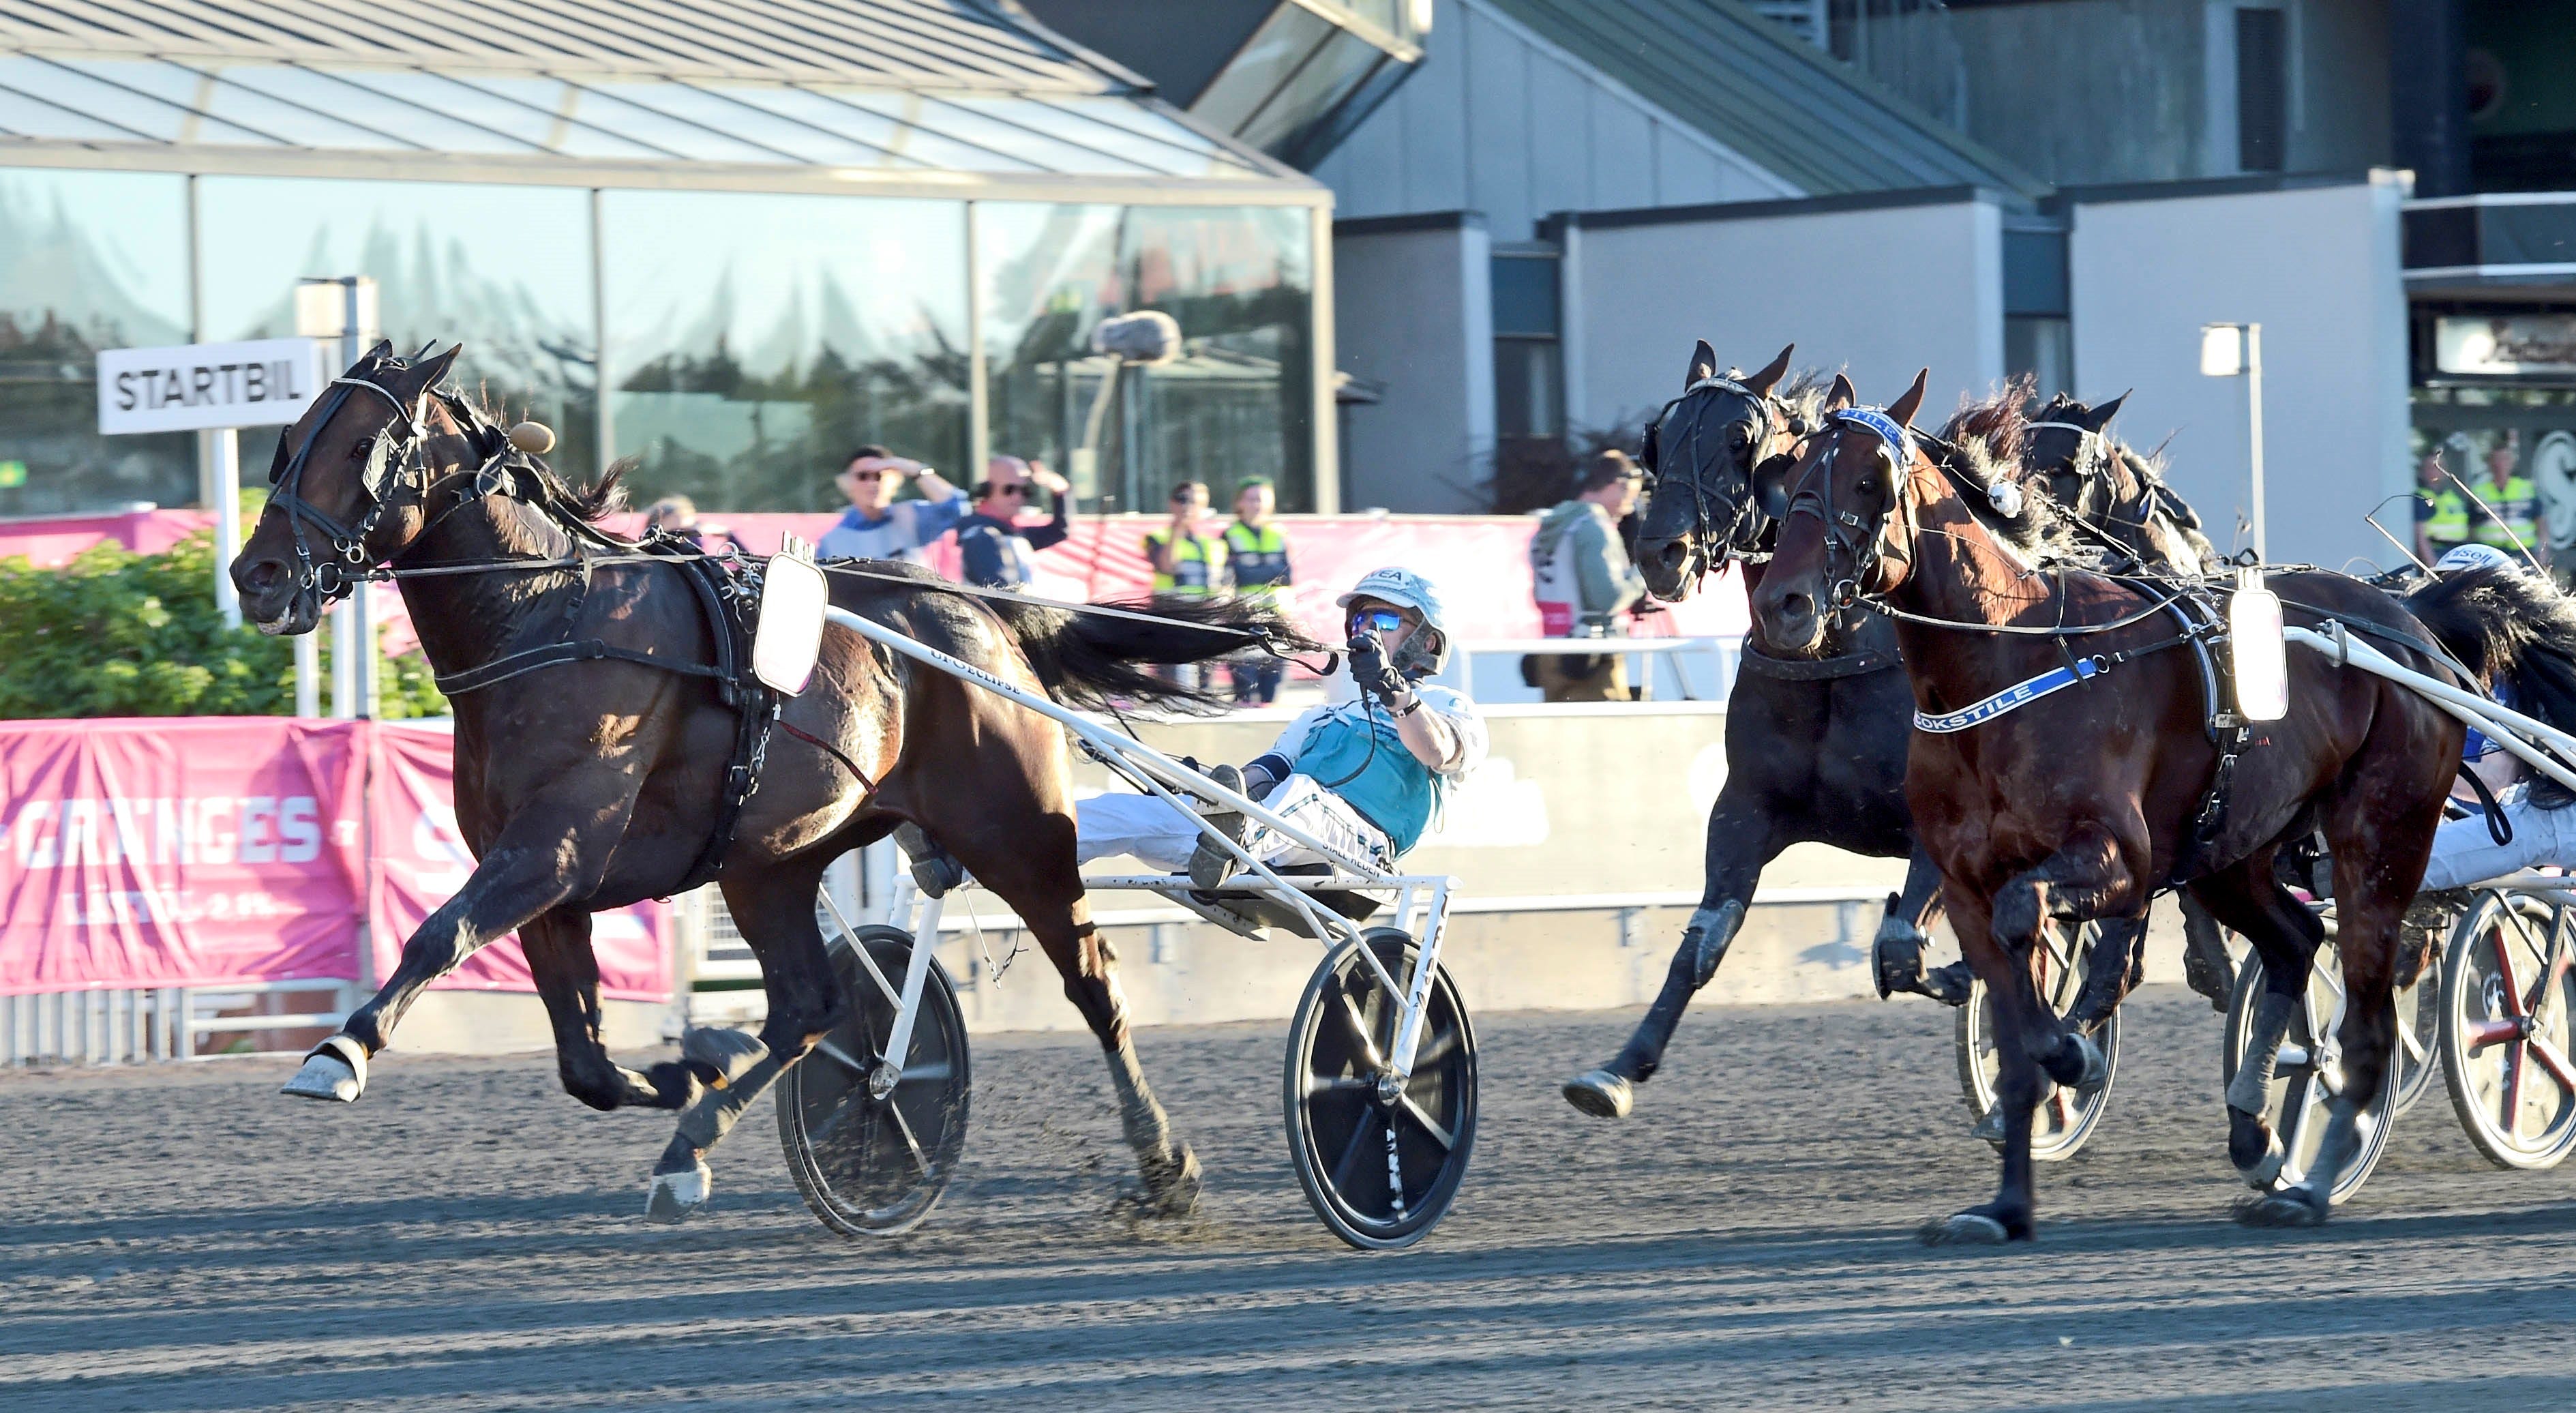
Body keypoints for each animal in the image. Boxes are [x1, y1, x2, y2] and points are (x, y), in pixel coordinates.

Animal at [229, 341, 1303, 1221]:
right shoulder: (548, 885)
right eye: (288, 437)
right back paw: (700, 1136)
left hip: (1017, 833)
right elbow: (584, 1062)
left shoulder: (551, 851)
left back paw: (1163, 1163)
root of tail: (979, 614)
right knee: (807, 1006)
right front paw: (687, 1069)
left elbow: (437, 934)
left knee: (1090, 980)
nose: (257, 573)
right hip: (770, 864)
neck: (548, 621)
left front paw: (336, 1053)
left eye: (360, 443)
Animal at [1562, 346, 2221, 1120]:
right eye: (1656, 441)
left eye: (1740, 439)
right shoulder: (1747, 808)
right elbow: (1704, 942)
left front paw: (1972, 985)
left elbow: (1902, 947)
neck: (1836, 655)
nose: (1660, 552)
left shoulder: (1940, 827)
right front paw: (1617, 1069)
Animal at [1748, 369, 2479, 1238]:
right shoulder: (1964, 884)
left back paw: (2312, 1183)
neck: (2008, 660)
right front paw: (2005, 1203)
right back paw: (2255, 1127)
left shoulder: (2117, 856)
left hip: (2378, 840)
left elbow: (2040, 930)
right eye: (1790, 473)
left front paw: (2072, 1049)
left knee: (2367, 1016)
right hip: (2232, 851)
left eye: (1869, 480)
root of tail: (2413, 628)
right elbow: (2010, 1016)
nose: (1783, 604)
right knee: (2296, 941)